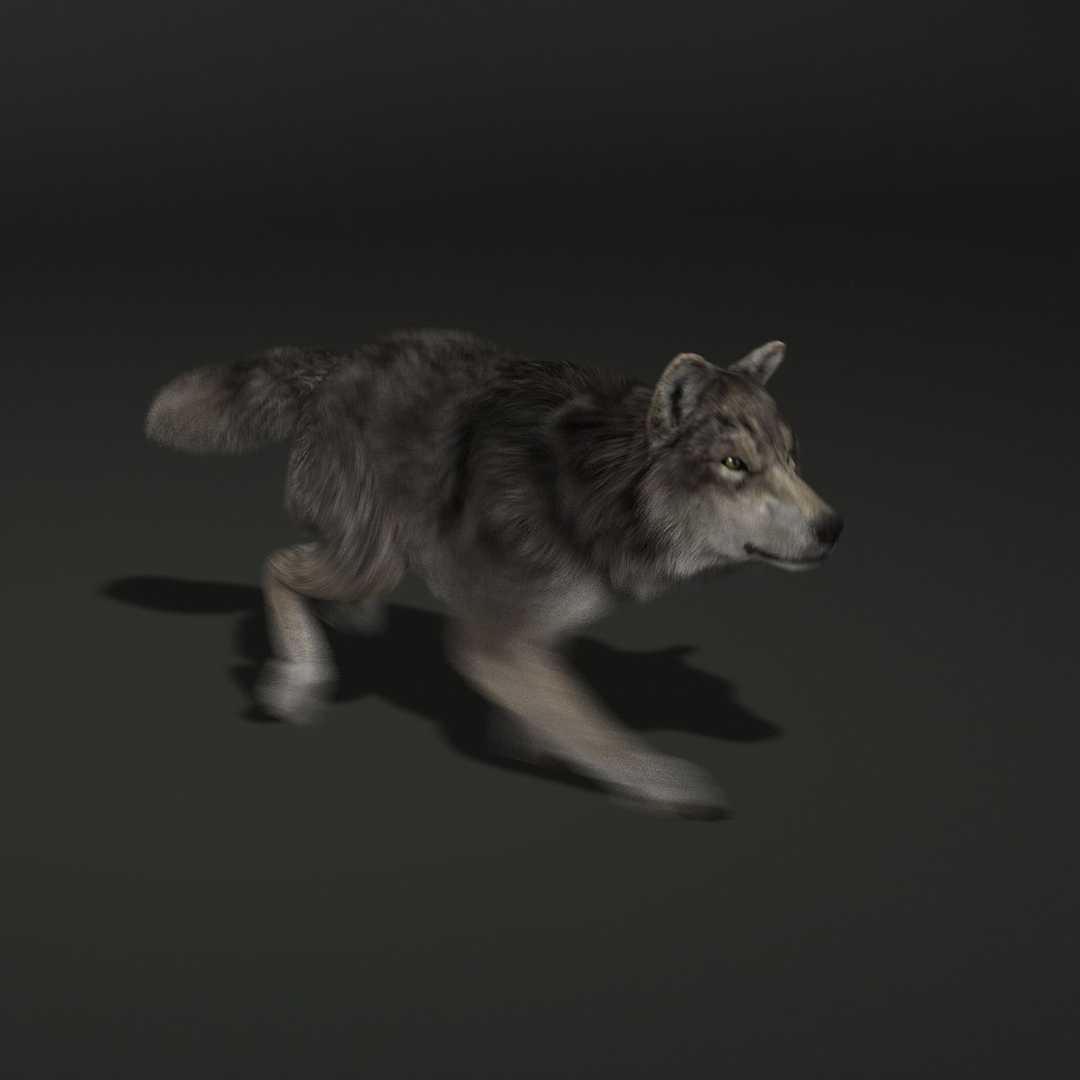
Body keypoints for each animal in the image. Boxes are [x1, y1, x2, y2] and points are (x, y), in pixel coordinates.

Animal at [145, 329, 843, 819]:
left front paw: (524, 740)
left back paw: (353, 623)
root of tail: (341, 361)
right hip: (371, 558)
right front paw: (664, 781)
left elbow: (555, 707)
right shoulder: (490, 639)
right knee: (278, 565)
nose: (834, 527)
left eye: (792, 457)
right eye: (734, 464)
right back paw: (299, 682)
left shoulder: (540, 628)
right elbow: (598, 729)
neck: (590, 491)